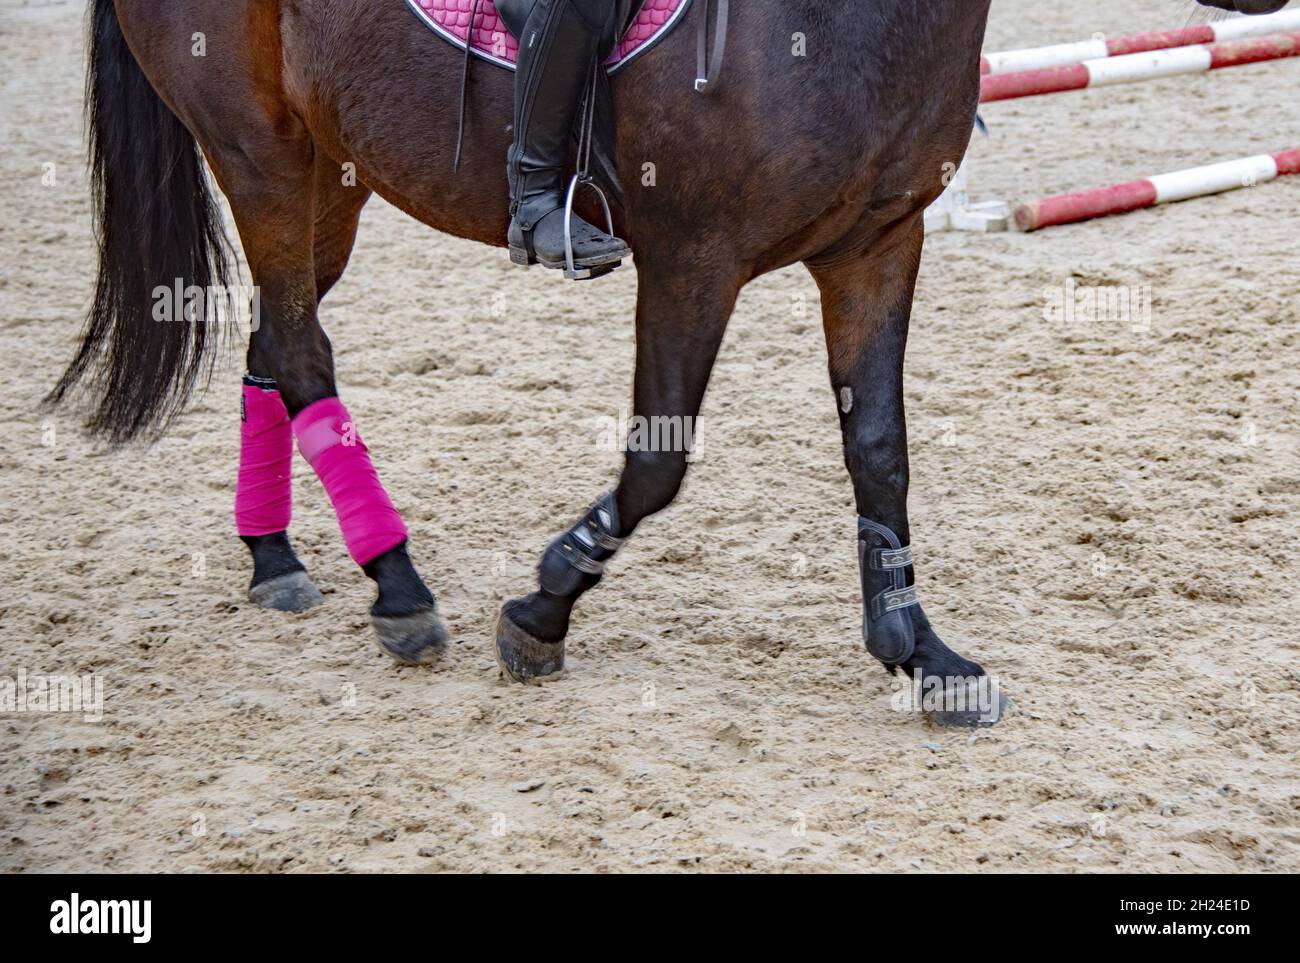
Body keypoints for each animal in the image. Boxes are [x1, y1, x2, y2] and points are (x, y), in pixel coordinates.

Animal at [50, 0, 1284, 727]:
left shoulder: (879, 244)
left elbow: (880, 451)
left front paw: (918, 650)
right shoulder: (694, 260)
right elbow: (658, 463)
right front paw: (542, 610)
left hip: (330, 173)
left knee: (275, 349)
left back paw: (275, 559)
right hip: (257, 154)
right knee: (304, 352)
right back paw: (398, 589)